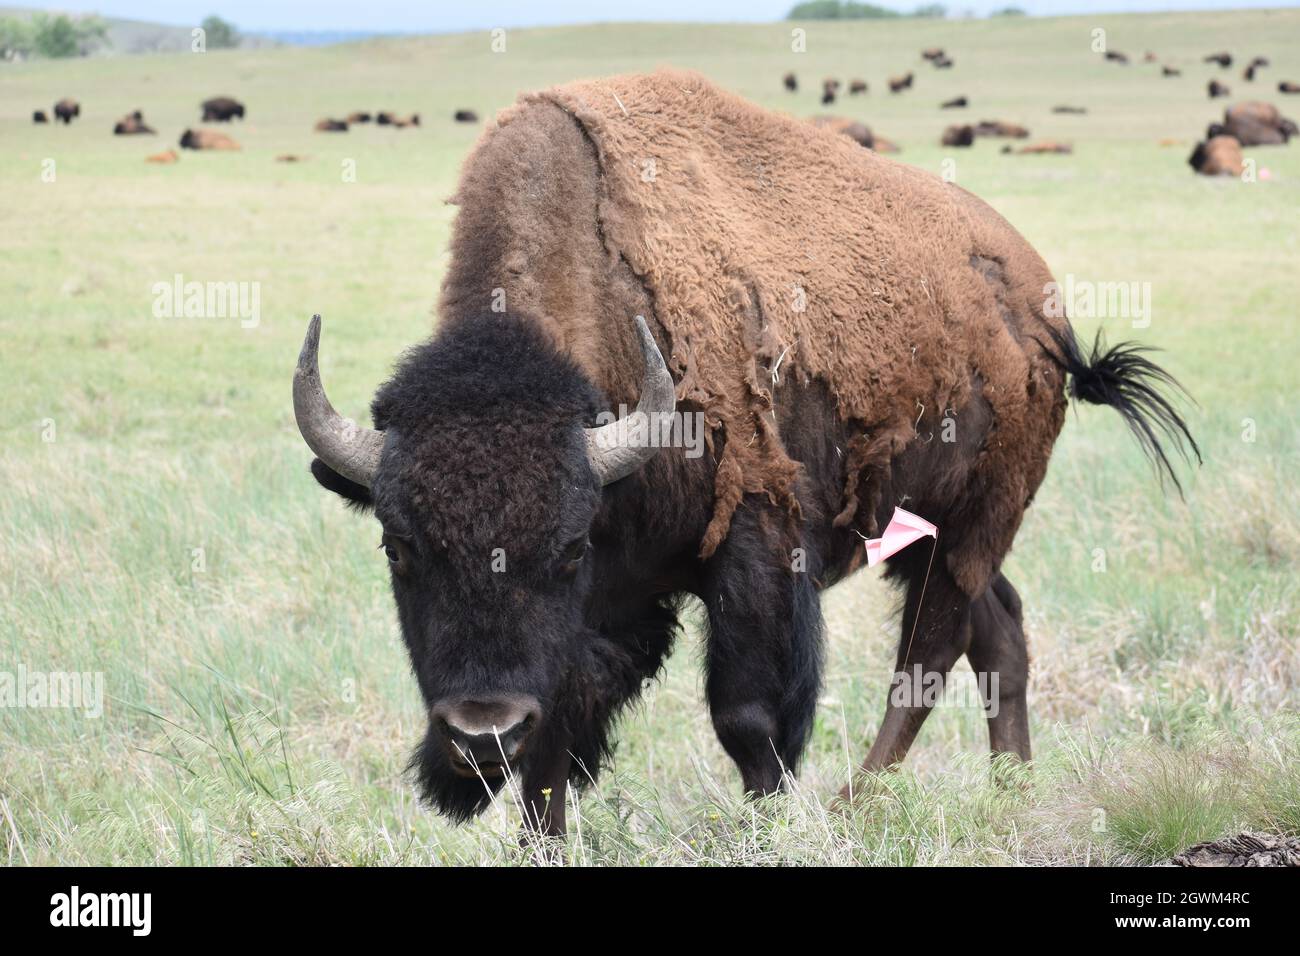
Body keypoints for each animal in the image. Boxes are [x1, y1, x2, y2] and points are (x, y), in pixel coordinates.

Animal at [292, 71, 1197, 837]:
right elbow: (557, 739)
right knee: (998, 631)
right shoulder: (594, 620)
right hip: (925, 527)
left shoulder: (754, 545)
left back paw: (857, 802)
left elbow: (748, 720)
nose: (481, 733)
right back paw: (1011, 793)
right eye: (398, 548)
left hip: (974, 519)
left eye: (568, 548)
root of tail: (1038, 308)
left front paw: (772, 829)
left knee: (931, 651)